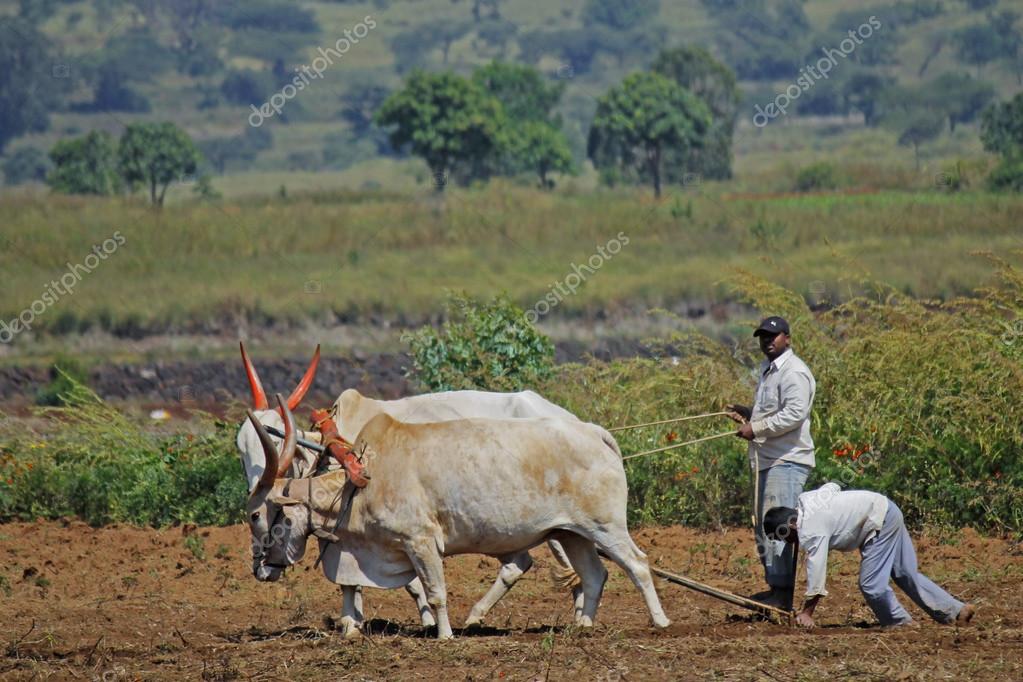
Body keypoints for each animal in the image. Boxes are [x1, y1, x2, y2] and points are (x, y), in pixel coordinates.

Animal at [235, 343, 618, 636]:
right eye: (240, 449)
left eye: (272, 438)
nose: (256, 488)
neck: (337, 445)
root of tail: (573, 419)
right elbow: (353, 579)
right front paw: (352, 621)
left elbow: (401, 581)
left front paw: (417, 620)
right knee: (535, 562)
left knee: (552, 563)